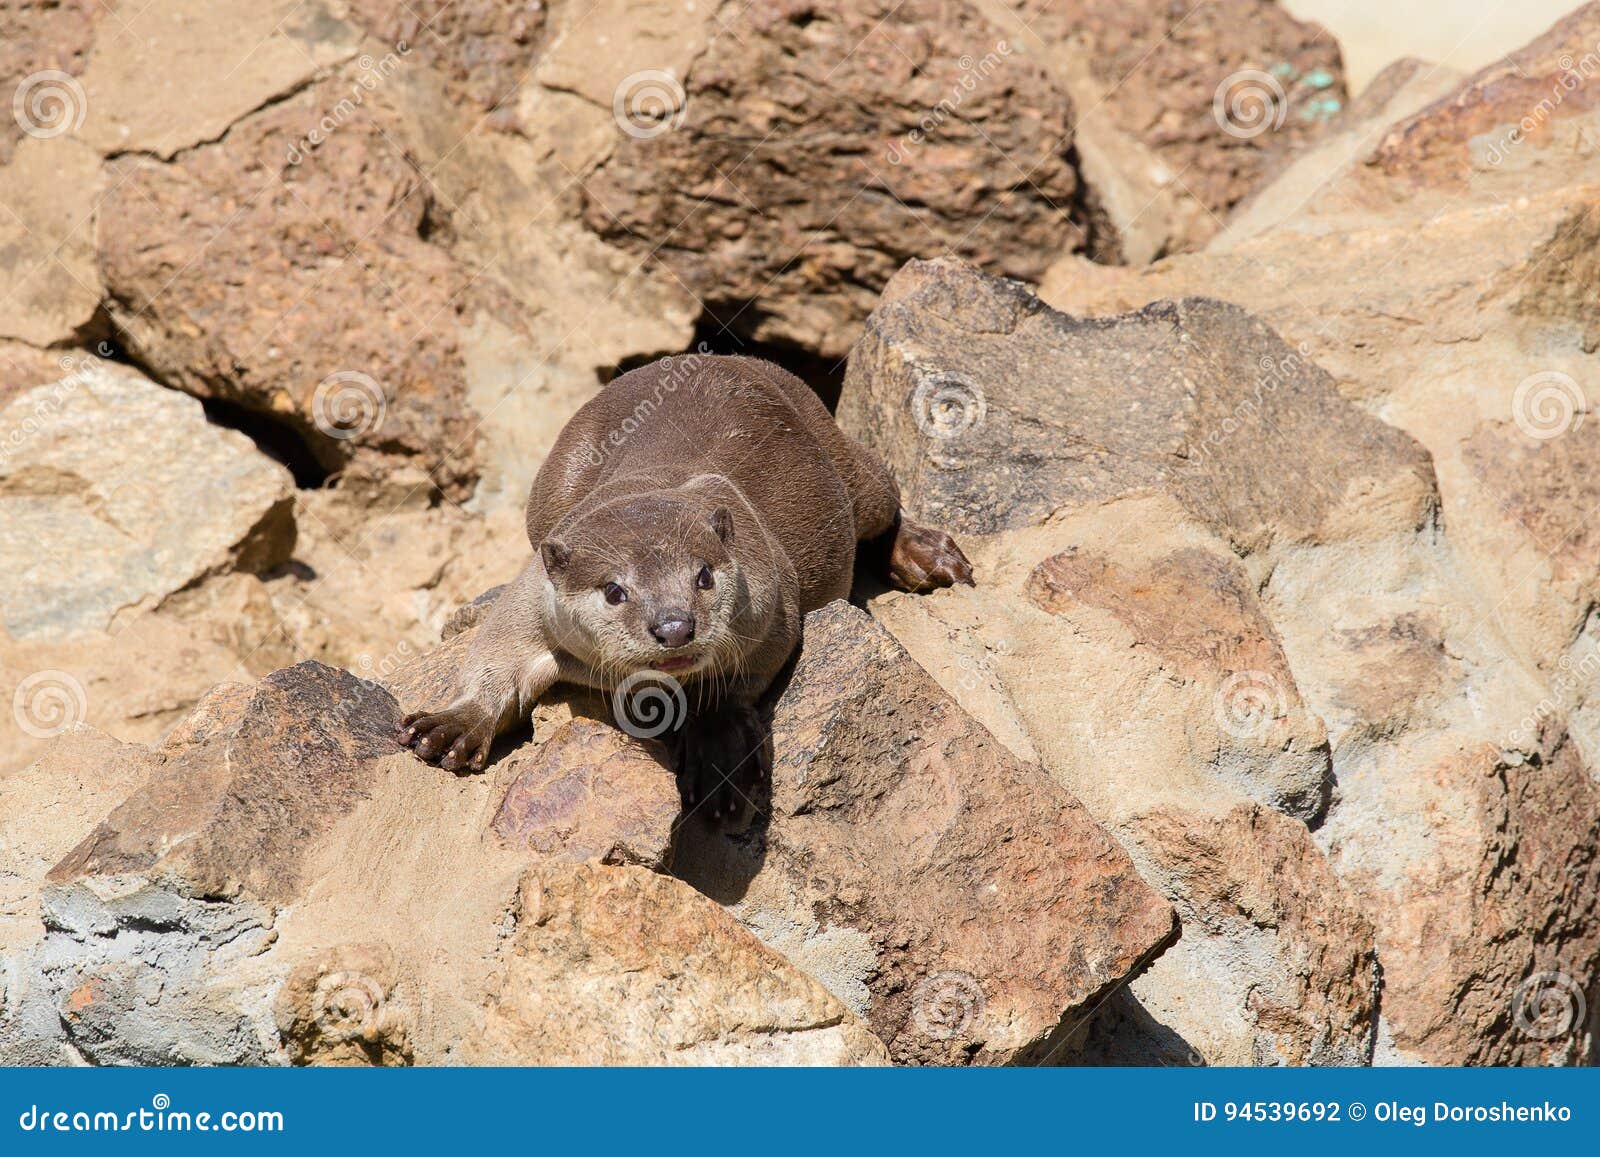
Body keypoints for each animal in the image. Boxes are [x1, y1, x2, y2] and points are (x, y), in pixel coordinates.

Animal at [398, 354, 972, 820]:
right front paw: (454, 724)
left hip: (841, 457)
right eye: (615, 591)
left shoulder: (771, 606)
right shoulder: (532, 595)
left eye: (703, 576)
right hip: (549, 492)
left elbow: (737, 680)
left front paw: (716, 751)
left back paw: (927, 555)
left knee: (883, 492)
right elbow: (495, 652)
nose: (674, 626)